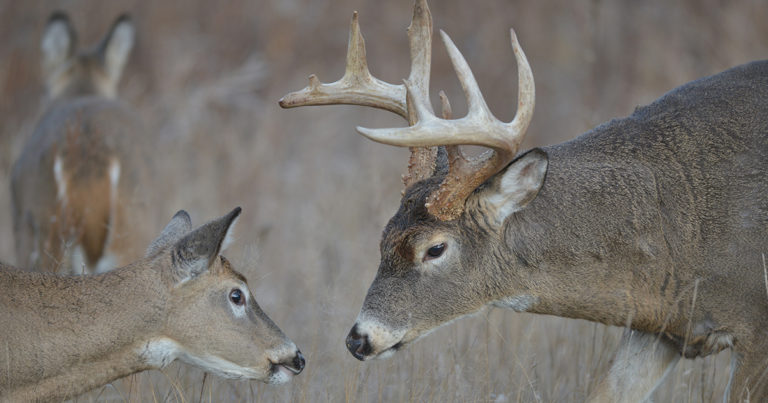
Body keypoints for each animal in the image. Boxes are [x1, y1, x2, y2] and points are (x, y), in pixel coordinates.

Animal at [279, 0, 768, 401]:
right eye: (383, 238)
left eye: (435, 248)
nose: (358, 339)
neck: (681, 233)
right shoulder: (661, 330)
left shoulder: (756, 327)